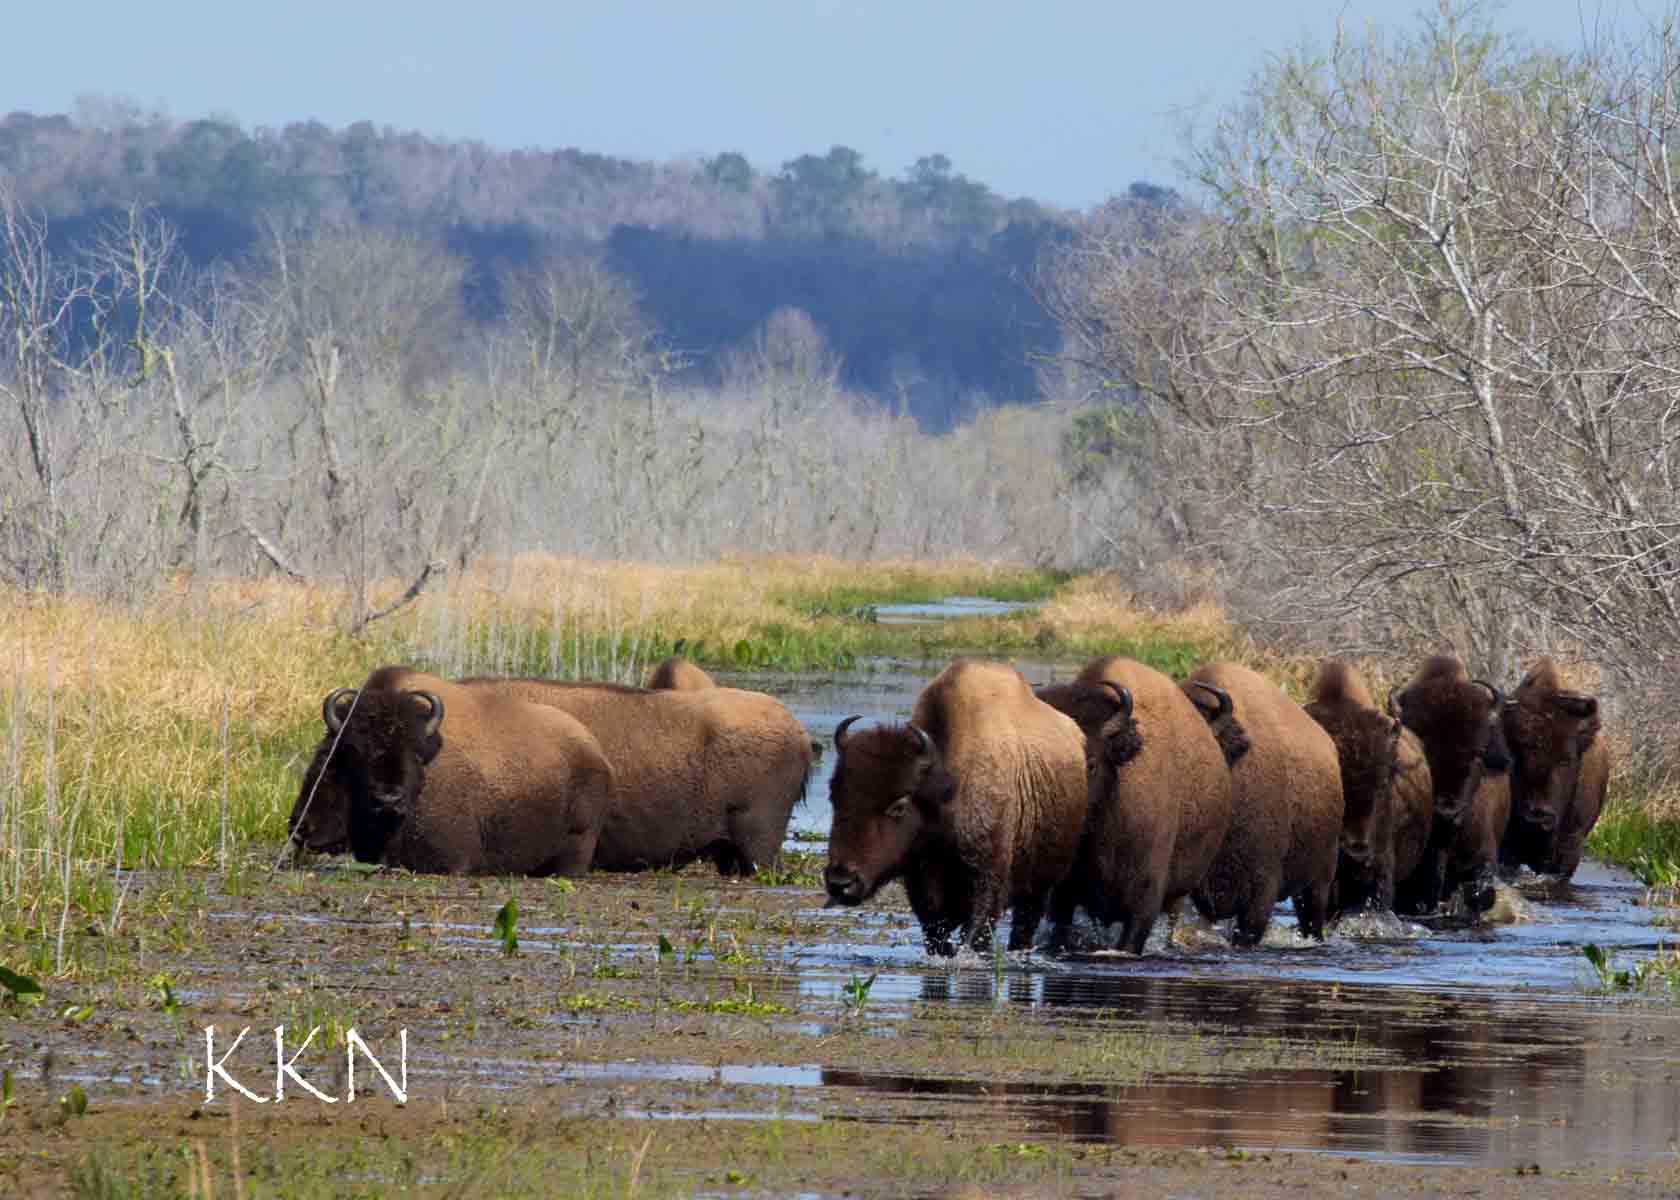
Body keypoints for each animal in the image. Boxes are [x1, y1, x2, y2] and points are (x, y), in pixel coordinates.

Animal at [824, 658, 1087, 956]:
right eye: (834, 797)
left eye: (899, 805)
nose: (841, 882)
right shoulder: (922, 888)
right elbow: (936, 935)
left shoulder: (987, 884)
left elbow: (975, 934)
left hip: (1039, 886)